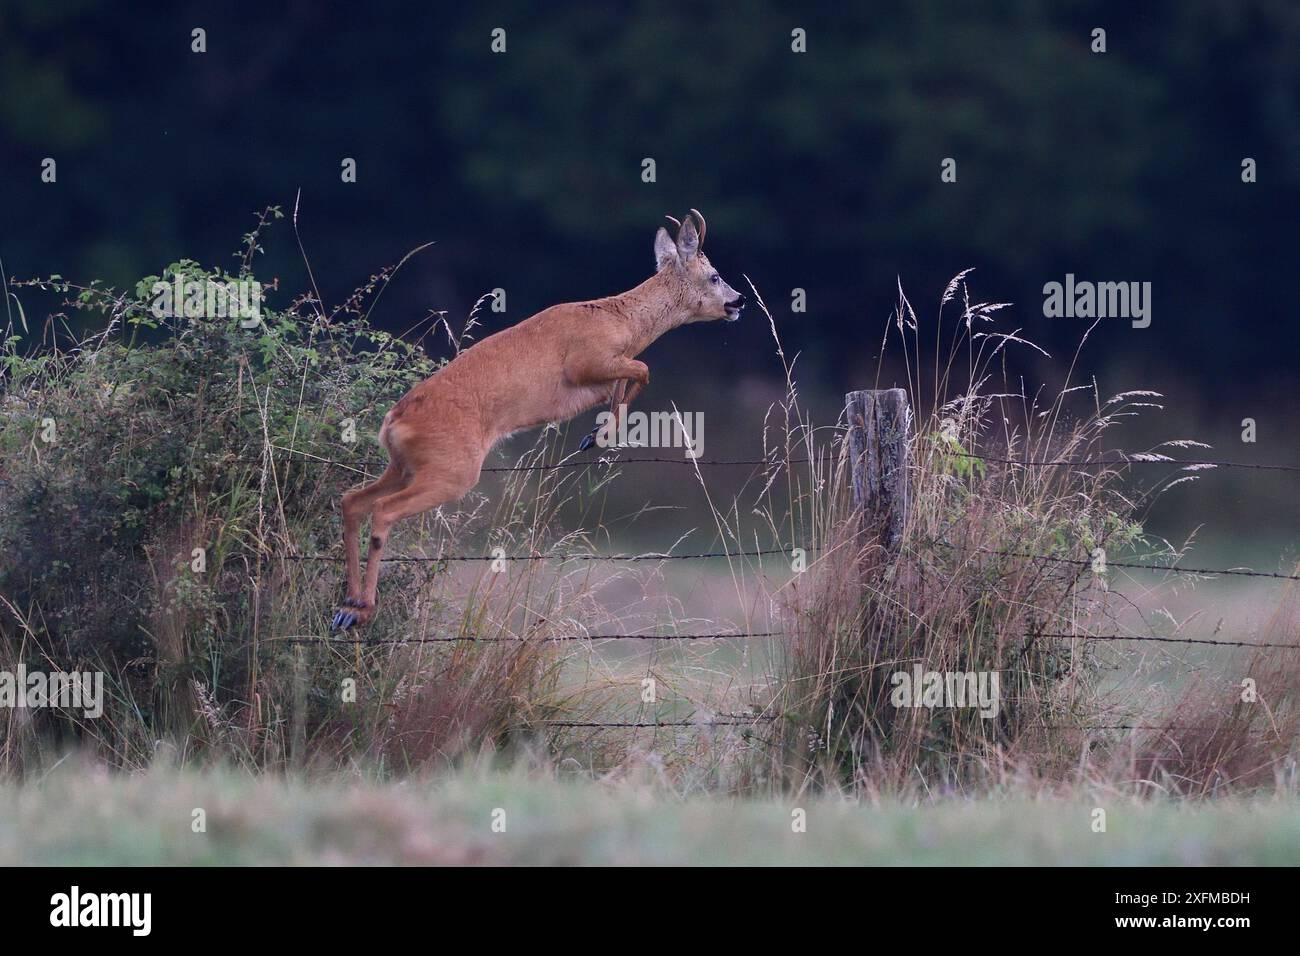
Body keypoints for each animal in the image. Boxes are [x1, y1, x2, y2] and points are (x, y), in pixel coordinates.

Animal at [331, 209, 744, 630]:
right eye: (714, 276)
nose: (738, 300)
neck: (623, 322)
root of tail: (393, 422)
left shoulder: (598, 378)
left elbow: (629, 379)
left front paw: (597, 432)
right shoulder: (586, 361)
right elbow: (643, 369)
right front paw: (599, 433)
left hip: (404, 467)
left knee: (352, 502)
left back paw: (347, 605)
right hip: (452, 469)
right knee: (383, 511)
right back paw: (363, 608)